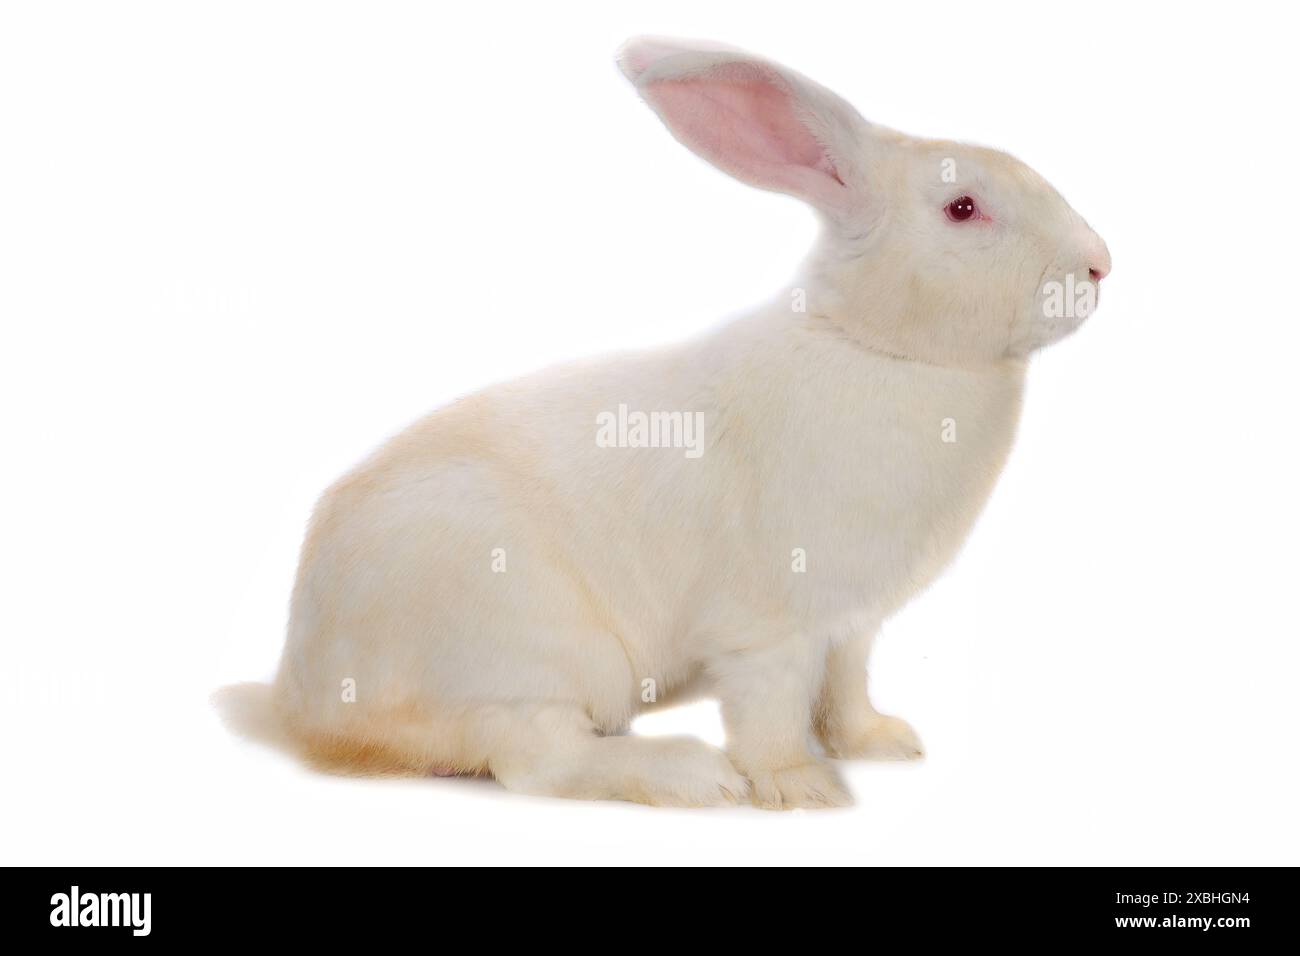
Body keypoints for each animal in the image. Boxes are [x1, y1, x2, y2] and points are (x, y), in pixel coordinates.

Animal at [216, 36, 1110, 809]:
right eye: (962, 207)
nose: (1100, 265)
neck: (876, 343)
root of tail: (304, 707)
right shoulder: (770, 627)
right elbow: (772, 709)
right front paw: (801, 788)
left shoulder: (851, 625)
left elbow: (847, 690)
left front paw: (882, 743)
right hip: (538, 651)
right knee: (539, 761)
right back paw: (691, 774)